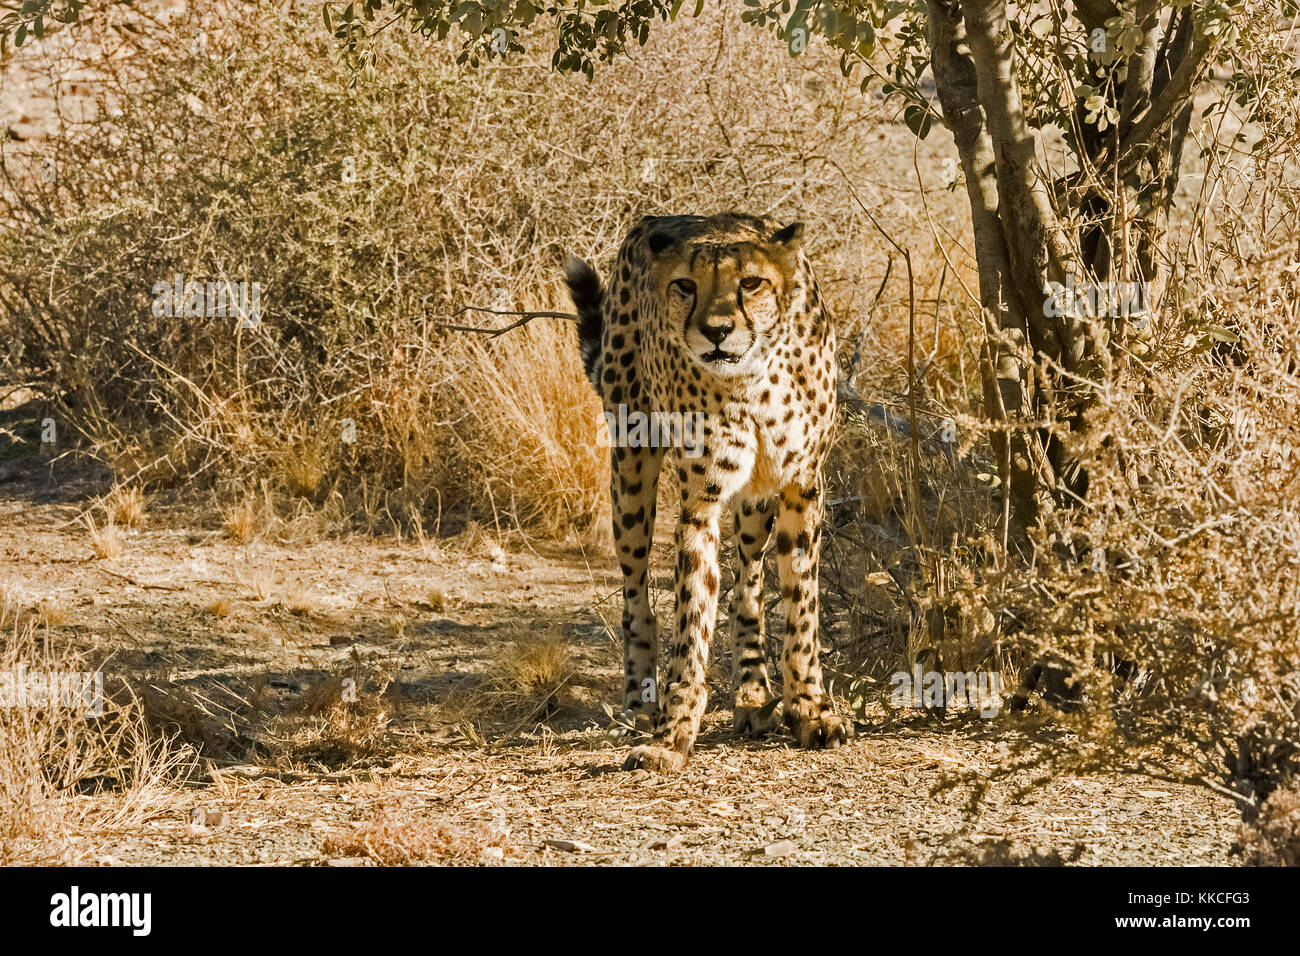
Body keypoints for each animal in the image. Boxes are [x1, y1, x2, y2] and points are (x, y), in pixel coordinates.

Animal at [565, 212, 853, 772]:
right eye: (685, 286)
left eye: (751, 283)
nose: (716, 332)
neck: (756, 378)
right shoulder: (700, 503)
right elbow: (692, 617)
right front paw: (673, 733)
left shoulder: (801, 487)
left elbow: (802, 611)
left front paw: (809, 709)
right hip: (631, 472)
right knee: (636, 598)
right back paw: (642, 704)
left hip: (757, 503)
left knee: (750, 585)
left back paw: (753, 695)